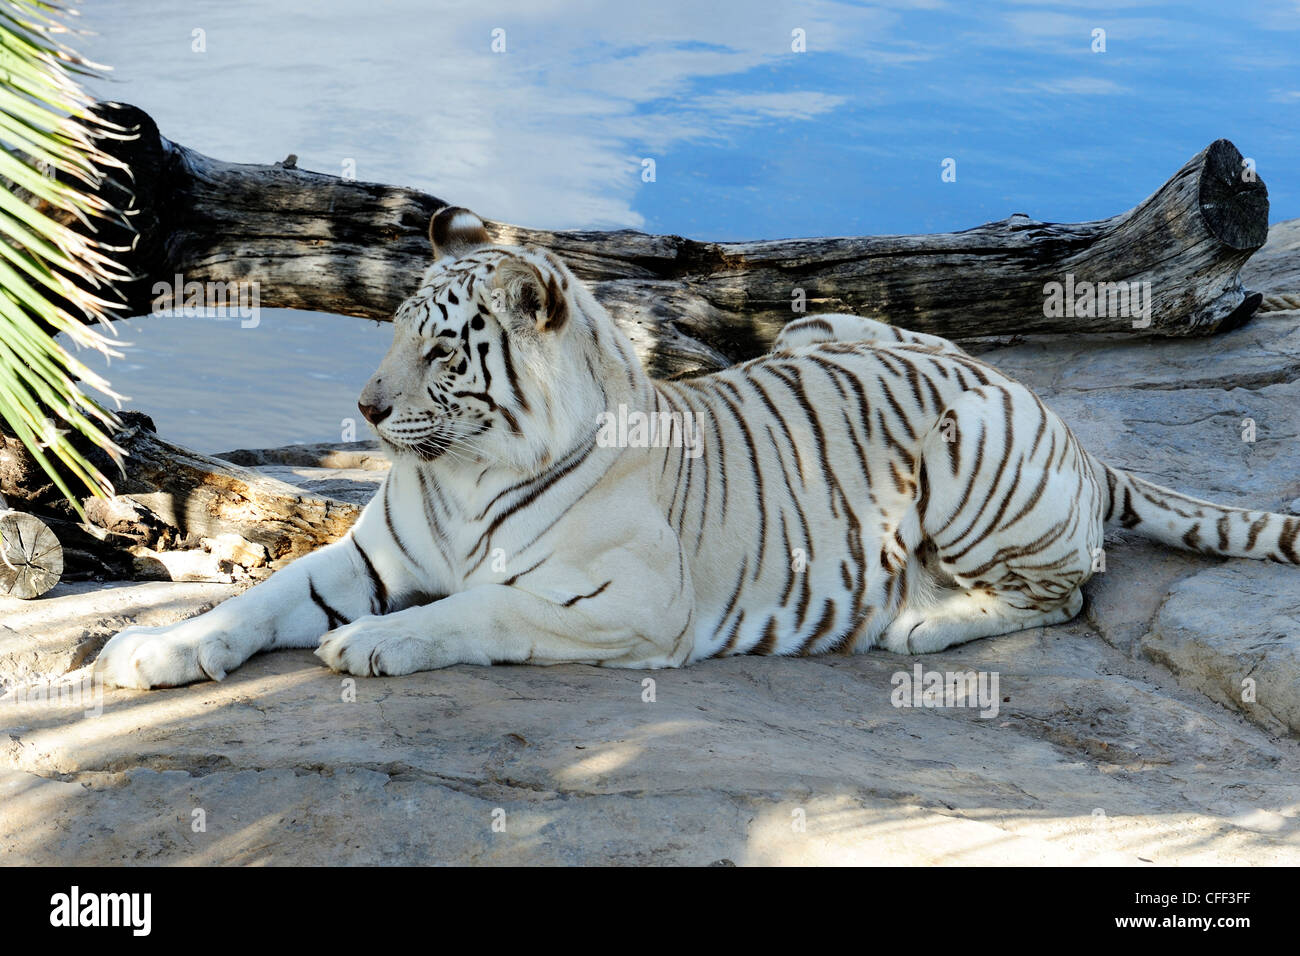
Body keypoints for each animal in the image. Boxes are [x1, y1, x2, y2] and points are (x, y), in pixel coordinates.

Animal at [94, 206, 1300, 689]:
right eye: (390, 329)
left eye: (440, 349)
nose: (370, 409)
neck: (469, 471)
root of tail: (1057, 418)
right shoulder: (370, 554)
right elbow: (255, 600)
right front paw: (149, 653)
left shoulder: (629, 603)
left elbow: (480, 611)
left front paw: (375, 648)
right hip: (828, 325)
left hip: (969, 453)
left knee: (1067, 591)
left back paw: (921, 618)